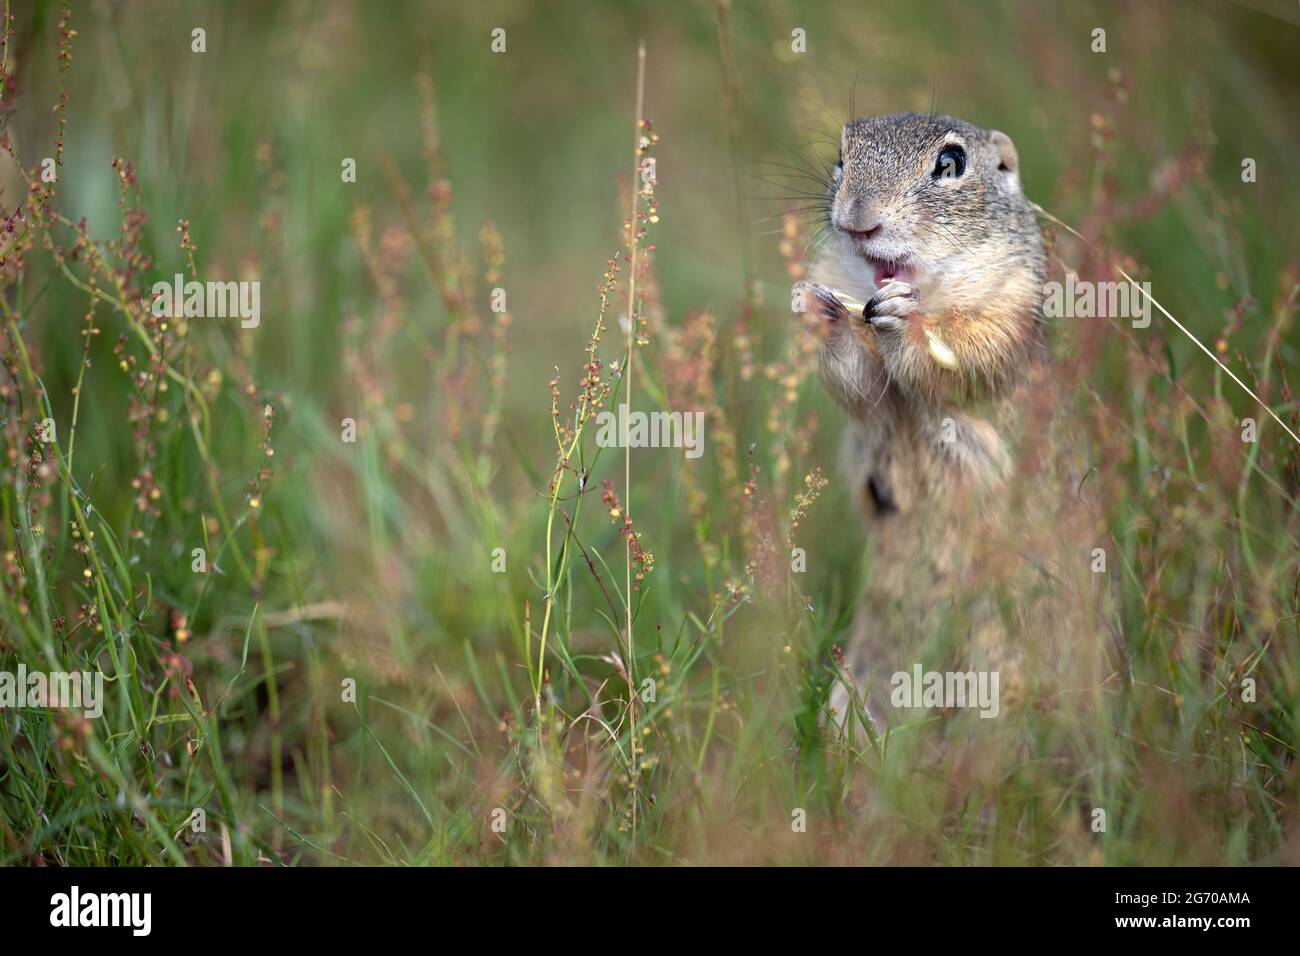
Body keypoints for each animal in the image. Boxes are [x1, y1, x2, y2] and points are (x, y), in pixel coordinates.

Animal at [794, 112, 1076, 735]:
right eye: (842, 155)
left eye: (951, 164)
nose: (857, 219)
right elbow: (862, 388)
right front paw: (818, 309)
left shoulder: (1007, 310)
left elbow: (964, 357)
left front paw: (905, 320)